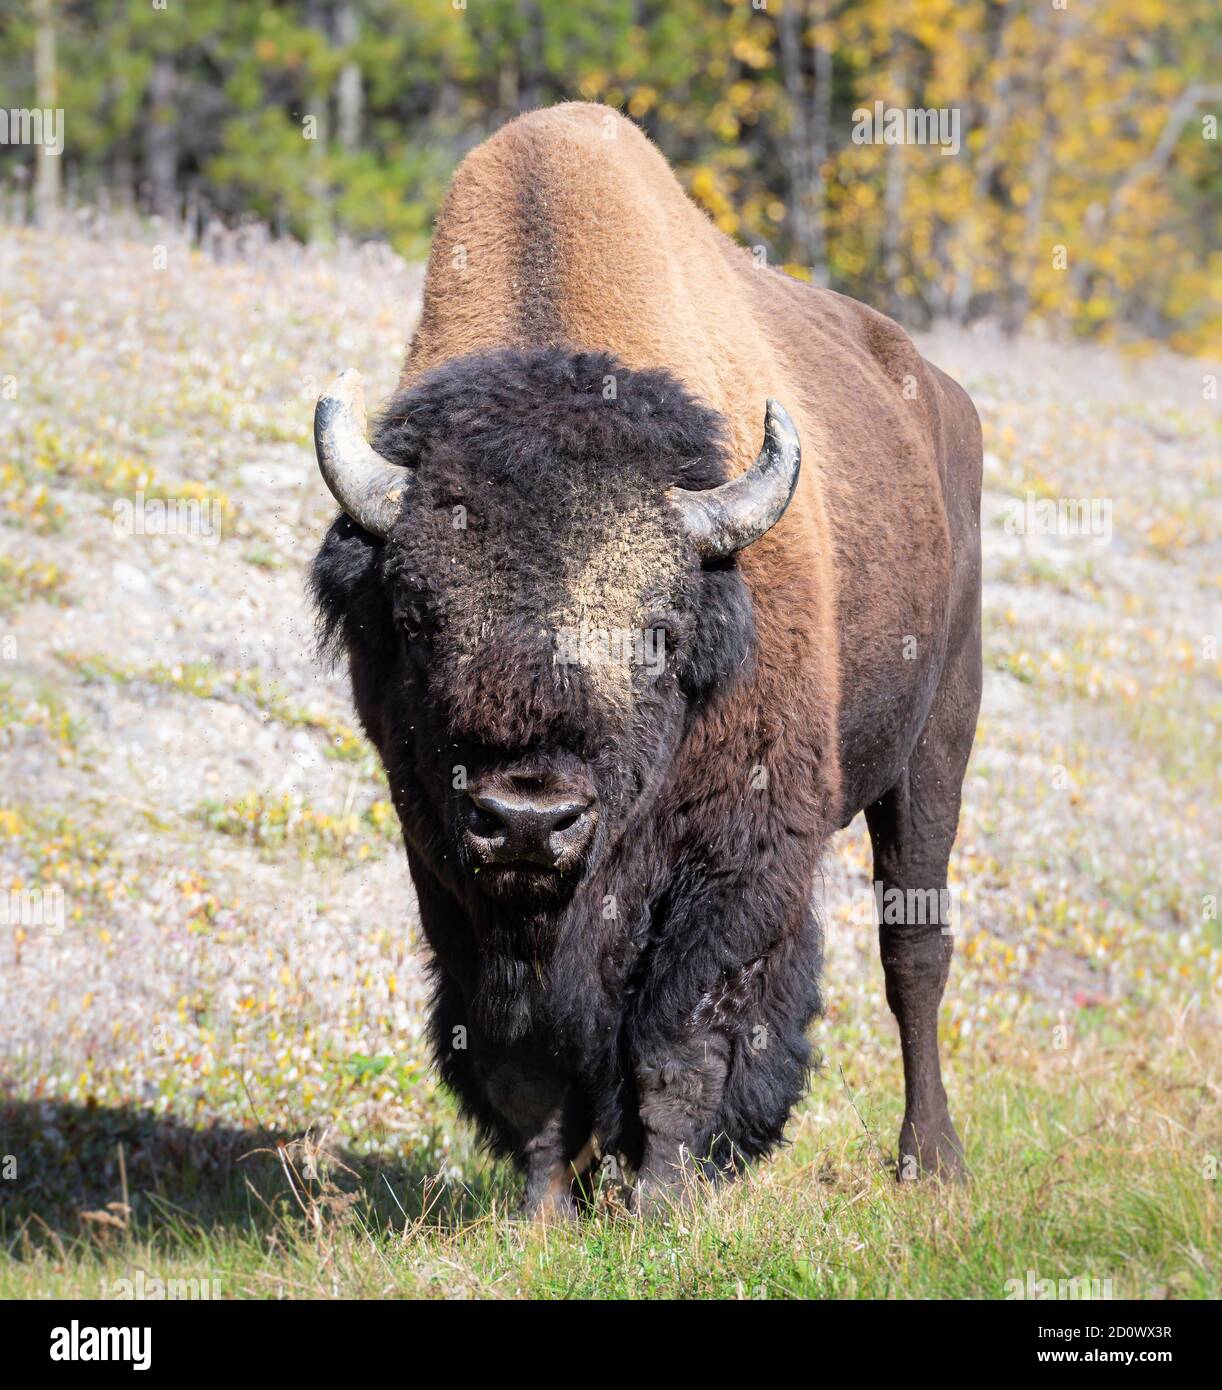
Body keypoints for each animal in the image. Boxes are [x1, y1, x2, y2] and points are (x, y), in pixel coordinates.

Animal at [310, 102, 982, 1215]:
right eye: (412, 618)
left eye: (660, 629)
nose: (529, 818)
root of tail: (936, 398)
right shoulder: (448, 863)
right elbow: (524, 1060)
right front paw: (542, 1214)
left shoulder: (738, 852)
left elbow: (682, 1037)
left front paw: (664, 1205)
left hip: (935, 743)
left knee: (912, 952)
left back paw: (929, 1163)